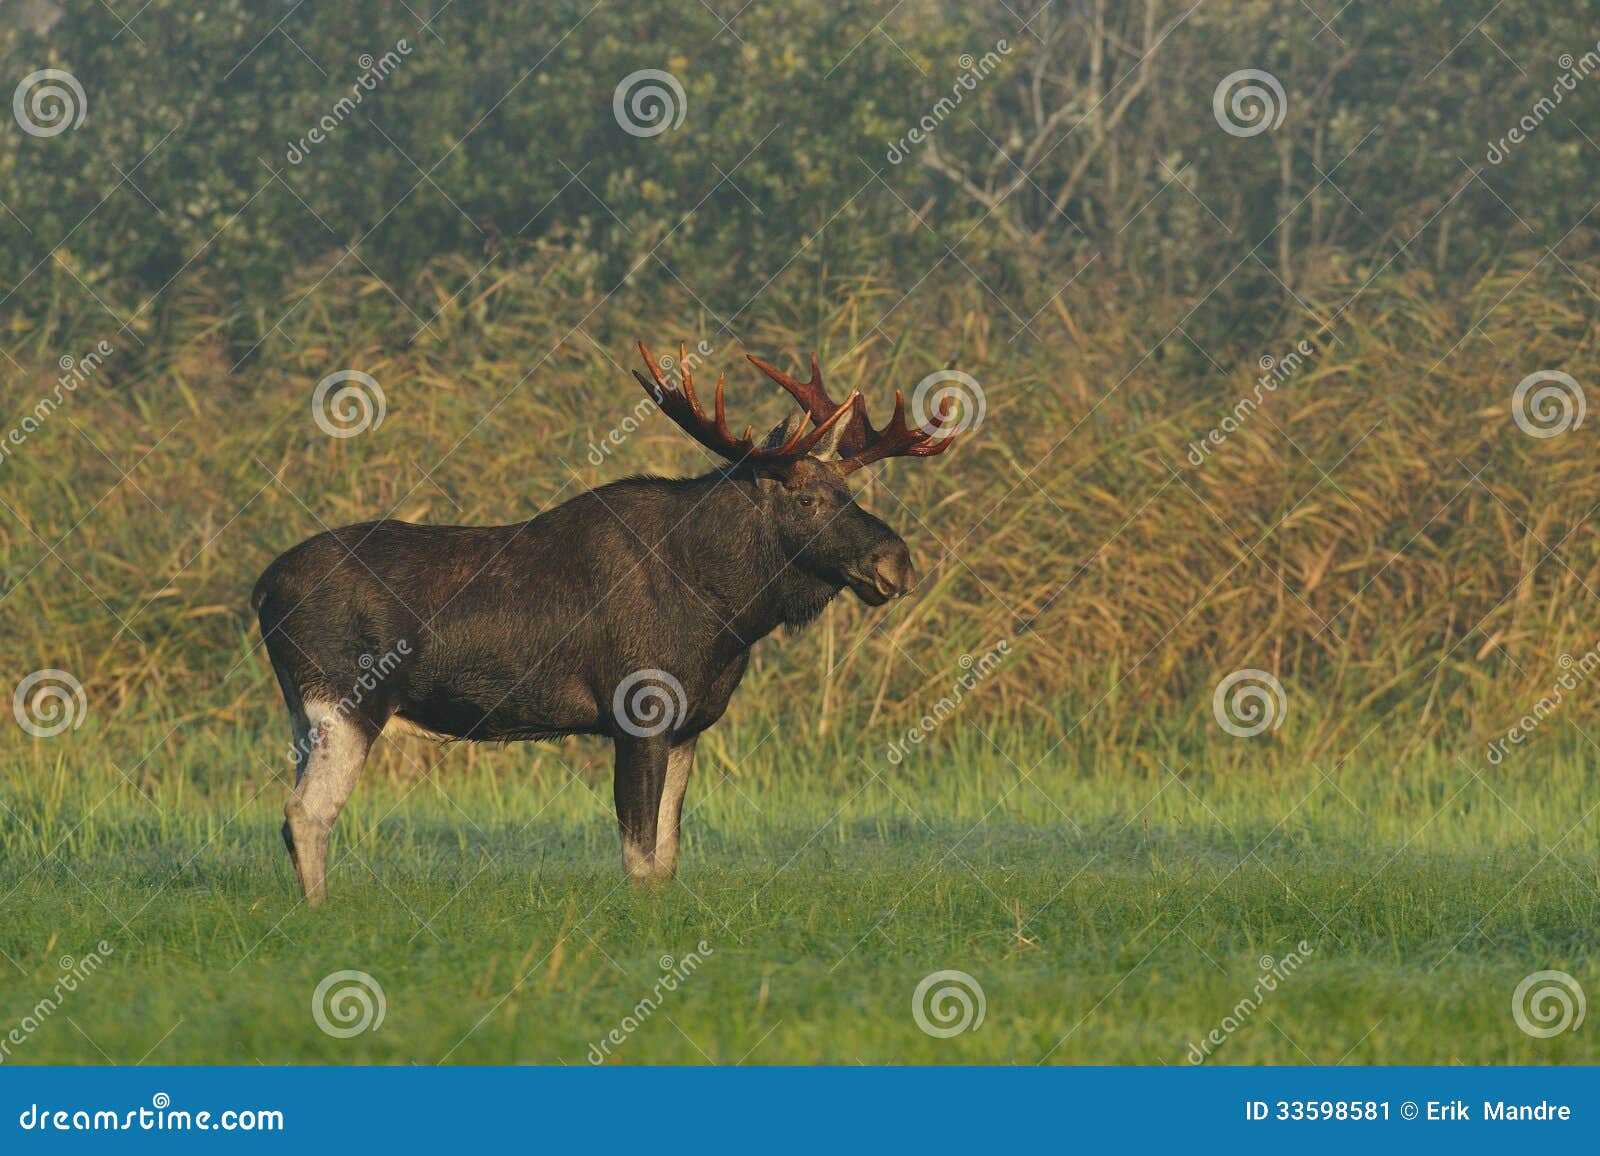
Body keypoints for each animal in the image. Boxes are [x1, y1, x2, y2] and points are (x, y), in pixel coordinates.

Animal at [251, 343, 957, 903]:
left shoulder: (689, 724)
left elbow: (667, 858)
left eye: (851, 494)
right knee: (305, 814)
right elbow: (639, 858)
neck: (725, 611)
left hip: (304, 713)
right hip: (345, 702)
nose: (898, 562)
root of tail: (261, 589)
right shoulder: (637, 710)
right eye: (808, 499)